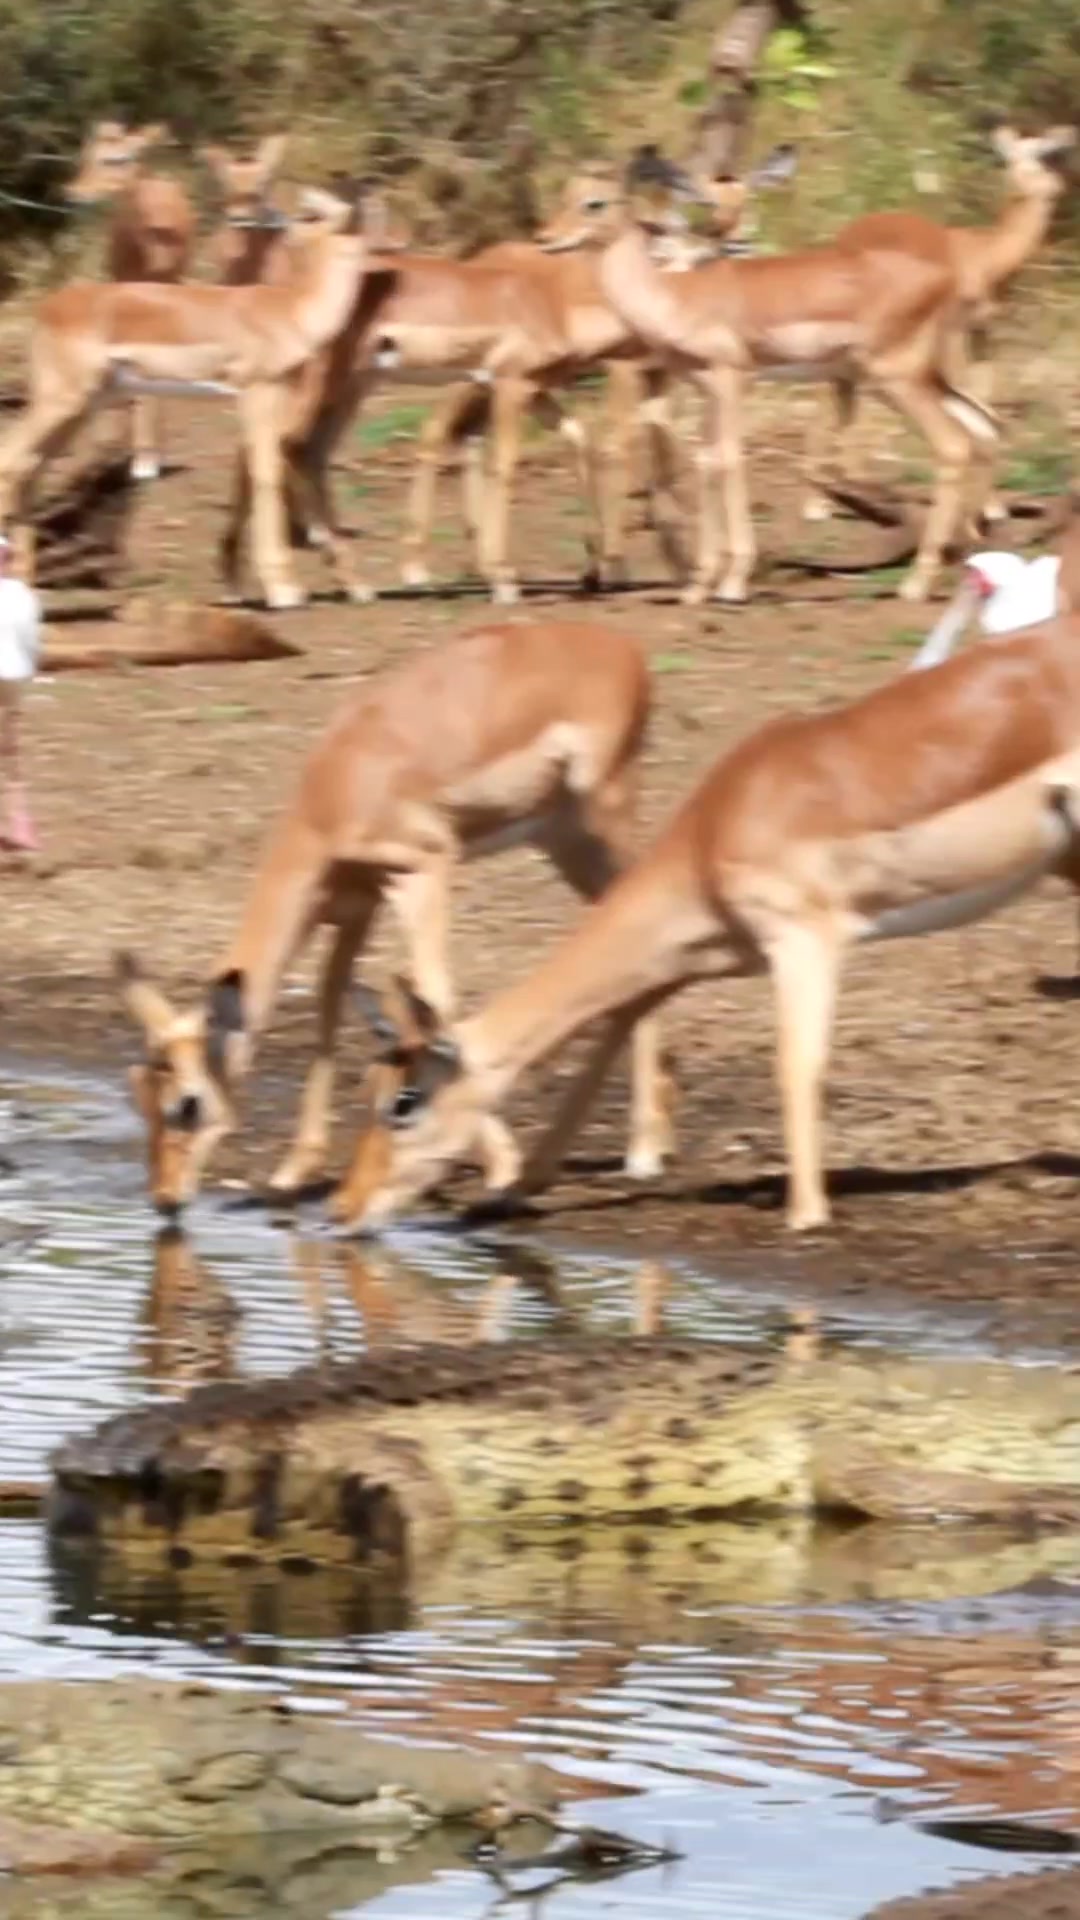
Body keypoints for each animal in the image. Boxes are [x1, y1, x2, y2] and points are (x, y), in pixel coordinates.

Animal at [0, 187, 369, 610]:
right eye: (313, 213)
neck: (292, 311)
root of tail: (48, 308)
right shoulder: (259, 393)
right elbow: (267, 476)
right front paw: (284, 590)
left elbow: (259, 473)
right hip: (61, 401)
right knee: (11, 459)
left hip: (81, 406)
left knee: (29, 468)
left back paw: (27, 582)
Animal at [114, 620, 673, 1216]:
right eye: (139, 1090)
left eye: (187, 1102)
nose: (165, 1199)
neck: (336, 787)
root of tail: (620, 644)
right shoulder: (356, 904)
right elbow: (329, 999)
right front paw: (291, 1173)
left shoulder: (420, 871)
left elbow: (435, 996)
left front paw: (501, 1166)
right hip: (561, 837)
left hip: (600, 816)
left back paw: (643, 1153)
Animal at [334, 589, 1080, 1238]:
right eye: (369, 1088)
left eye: (403, 1102)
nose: (345, 1208)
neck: (718, 825)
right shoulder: (698, 959)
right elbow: (607, 1038)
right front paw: (514, 1190)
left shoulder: (804, 940)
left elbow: (796, 1063)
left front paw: (805, 1215)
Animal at [537, 146, 999, 605]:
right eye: (565, 193)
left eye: (595, 202)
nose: (545, 238)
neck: (678, 295)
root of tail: (945, 279)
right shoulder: (707, 387)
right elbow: (707, 461)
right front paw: (699, 586)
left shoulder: (732, 378)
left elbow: (730, 460)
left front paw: (733, 582)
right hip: (923, 379)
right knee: (982, 427)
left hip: (897, 379)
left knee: (953, 444)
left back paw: (916, 584)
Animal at [804, 125, 1077, 526]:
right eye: (1043, 154)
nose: (1054, 186)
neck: (986, 256)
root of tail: (845, 238)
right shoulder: (952, 332)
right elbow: (972, 404)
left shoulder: (982, 332)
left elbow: (985, 404)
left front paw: (992, 507)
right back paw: (822, 503)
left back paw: (840, 494)